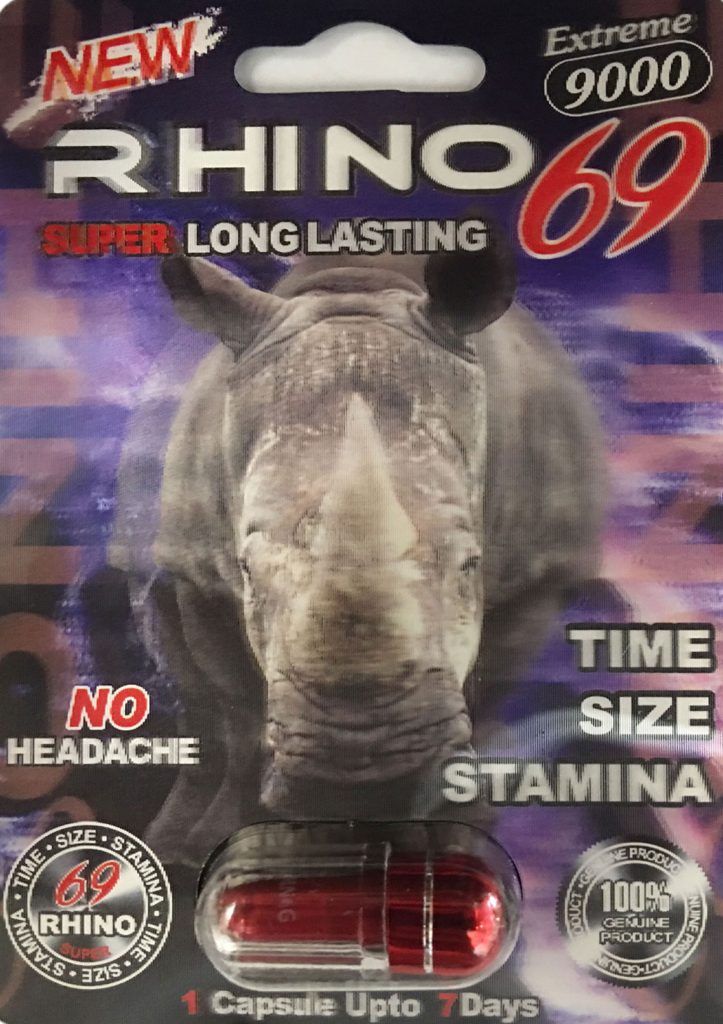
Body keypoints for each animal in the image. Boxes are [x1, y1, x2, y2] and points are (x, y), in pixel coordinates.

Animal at [112, 243, 604, 864]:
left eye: (471, 563)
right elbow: (236, 714)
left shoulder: (537, 573)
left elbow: (491, 694)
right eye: (246, 570)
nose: (359, 772)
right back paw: (173, 846)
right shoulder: (196, 571)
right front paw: (238, 844)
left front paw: (456, 835)